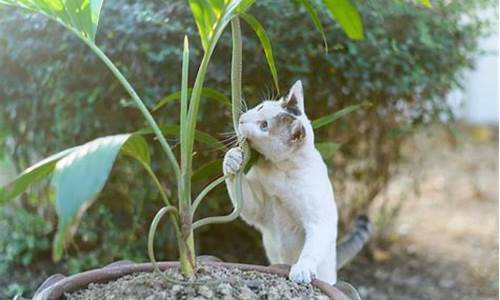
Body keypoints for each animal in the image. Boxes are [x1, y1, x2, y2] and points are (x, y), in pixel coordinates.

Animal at [224, 79, 372, 284]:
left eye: (264, 126)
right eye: (260, 107)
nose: (241, 120)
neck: (279, 170)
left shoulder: (319, 223)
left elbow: (309, 251)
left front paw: (301, 270)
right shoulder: (257, 208)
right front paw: (232, 159)